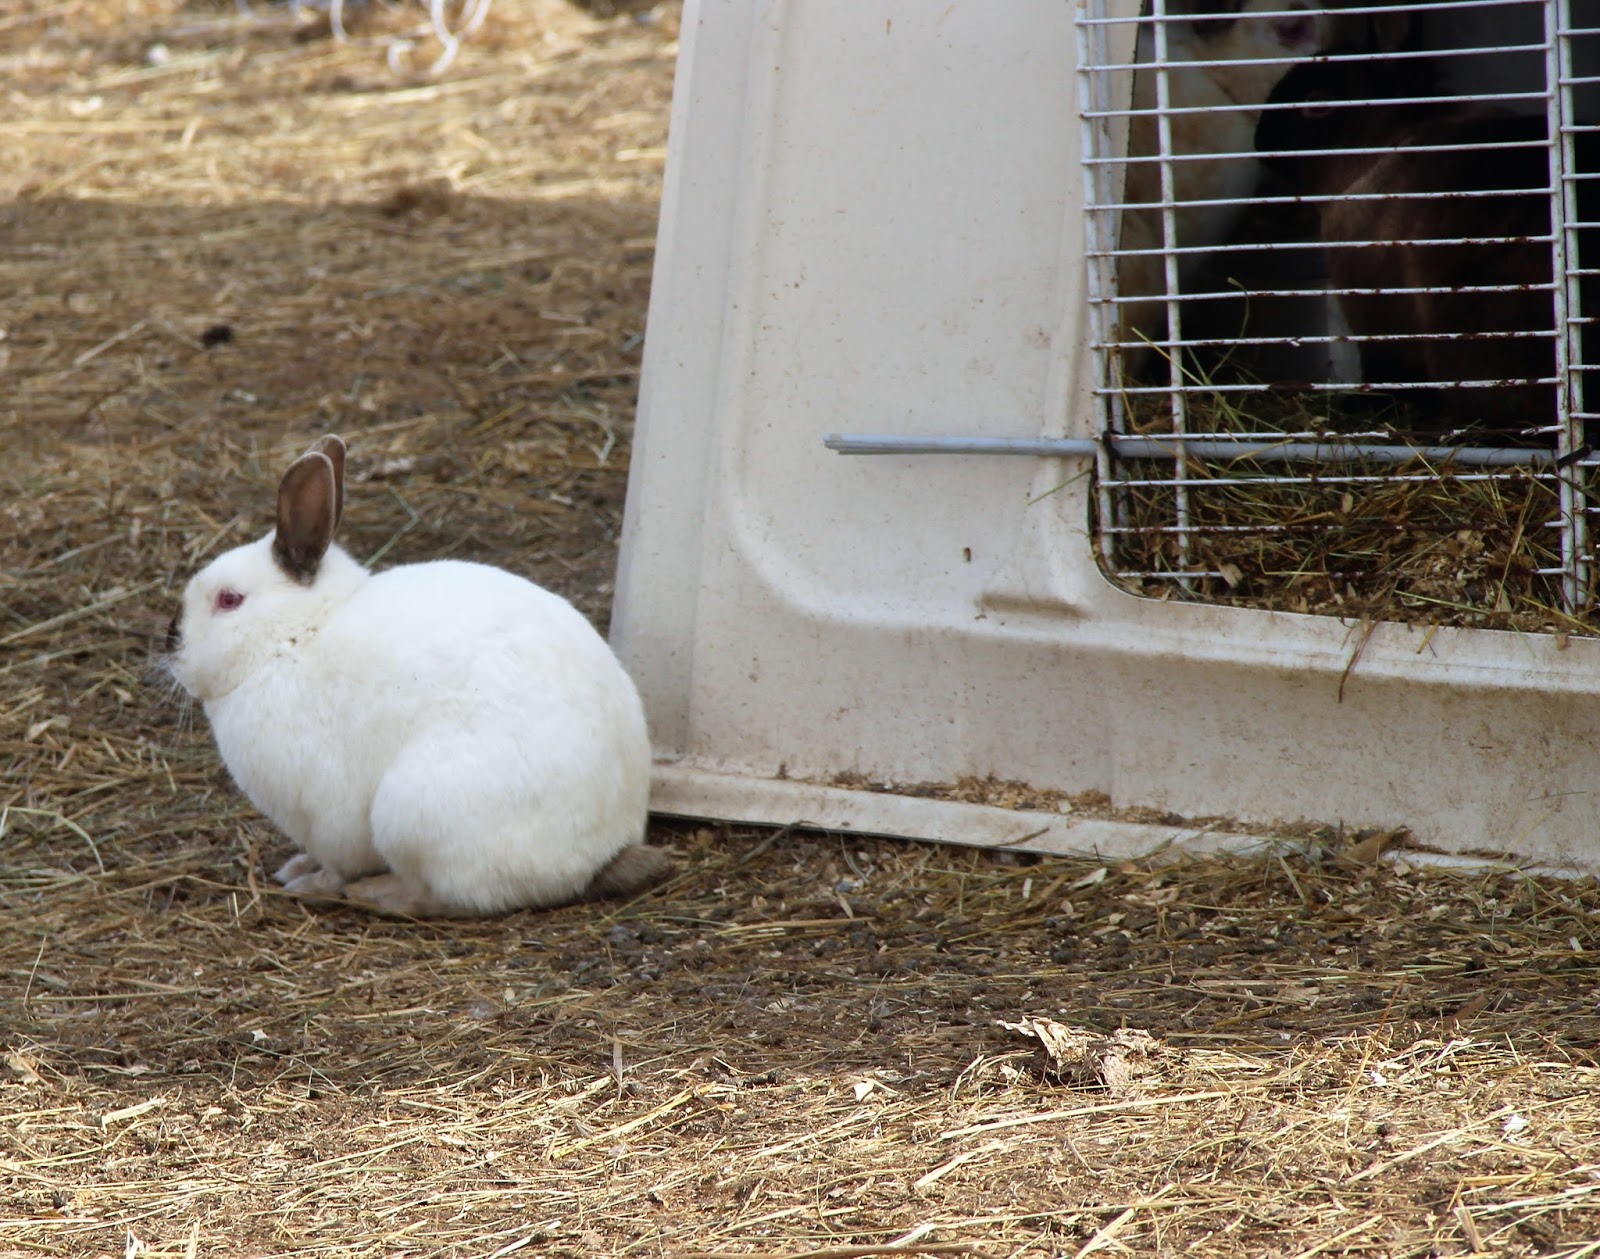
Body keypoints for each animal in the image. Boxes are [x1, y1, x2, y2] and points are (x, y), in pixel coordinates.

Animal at [163, 434, 668, 918]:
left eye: (229, 600)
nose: (172, 643)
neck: (294, 635)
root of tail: (604, 852)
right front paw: (296, 867)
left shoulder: (326, 814)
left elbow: (336, 863)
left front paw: (311, 883)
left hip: (413, 815)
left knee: (448, 898)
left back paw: (378, 895)